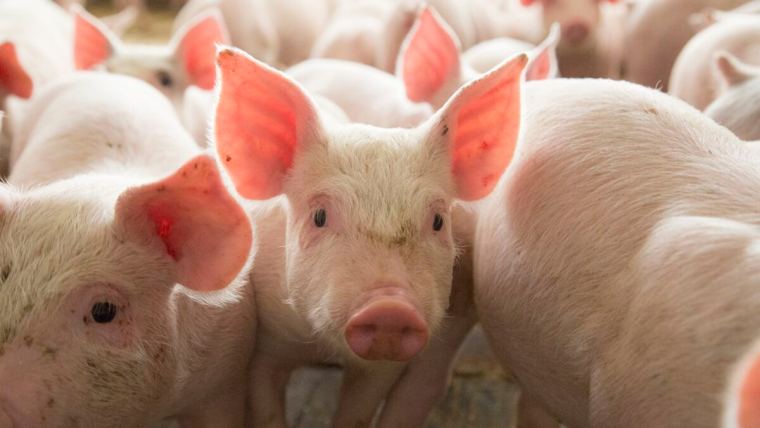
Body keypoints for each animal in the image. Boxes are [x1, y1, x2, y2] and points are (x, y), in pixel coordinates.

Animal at [213, 46, 527, 427]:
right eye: (319, 216)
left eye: (438, 220)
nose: (390, 308)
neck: (323, 348)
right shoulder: (266, 346)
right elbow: (267, 409)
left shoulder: (383, 367)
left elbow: (357, 412)